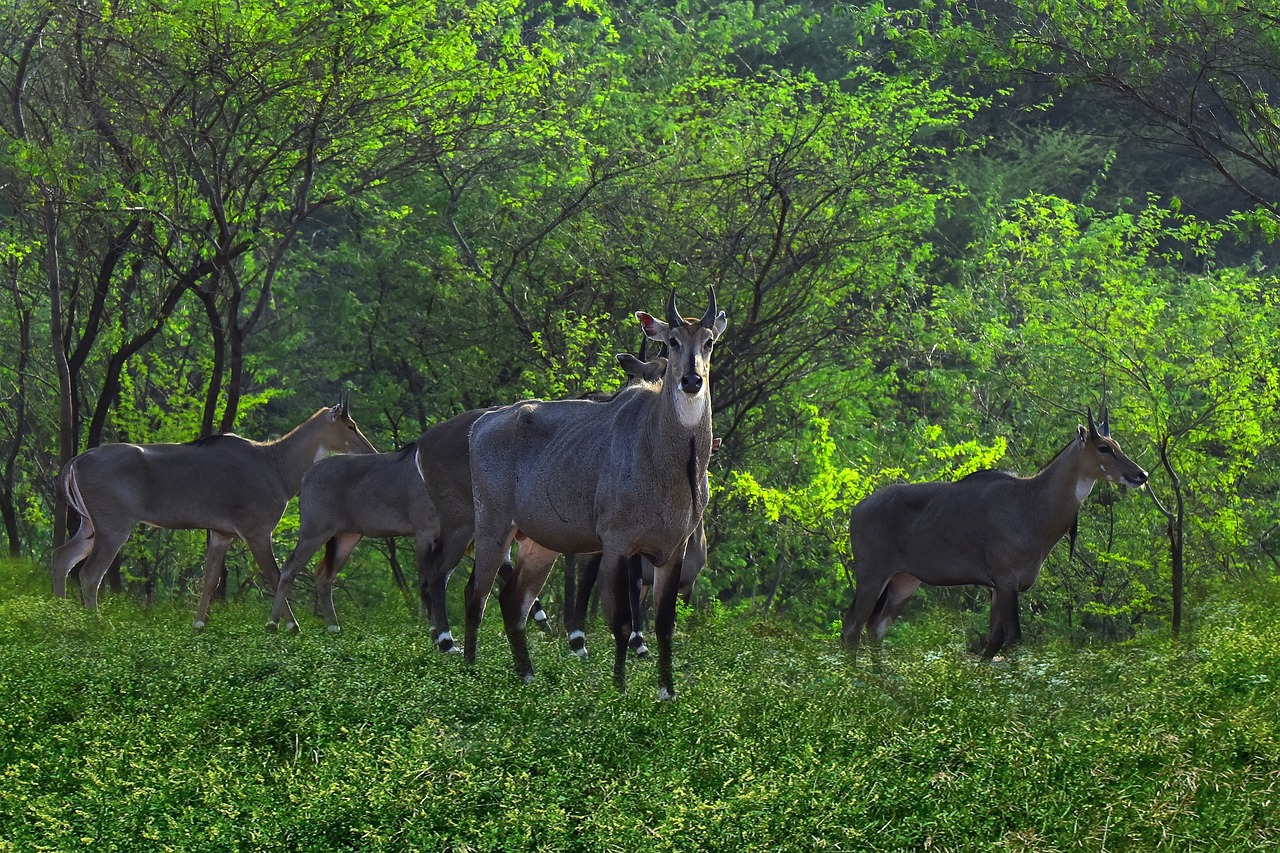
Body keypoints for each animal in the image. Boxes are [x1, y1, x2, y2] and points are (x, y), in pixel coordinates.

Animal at [51, 399, 376, 628]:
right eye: (350, 426)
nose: (371, 451)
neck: (275, 464)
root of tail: (77, 461)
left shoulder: (222, 533)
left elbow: (210, 579)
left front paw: (198, 624)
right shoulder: (256, 531)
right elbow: (275, 575)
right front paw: (290, 625)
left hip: (89, 525)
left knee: (62, 557)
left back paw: (59, 619)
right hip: (113, 527)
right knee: (90, 573)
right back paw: (95, 623)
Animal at [265, 443, 442, 633]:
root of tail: (308, 474)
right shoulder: (425, 531)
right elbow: (425, 579)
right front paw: (428, 627)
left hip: (346, 538)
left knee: (323, 576)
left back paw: (333, 627)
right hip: (314, 532)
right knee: (289, 568)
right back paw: (277, 623)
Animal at [466, 289, 726, 699]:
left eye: (709, 341)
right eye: (672, 341)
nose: (691, 379)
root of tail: (479, 425)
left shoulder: (673, 549)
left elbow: (665, 623)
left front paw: (667, 692)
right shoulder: (617, 543)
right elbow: (621, 620)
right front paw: (618, 689)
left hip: (540, 543)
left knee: (513, 601)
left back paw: (527, 677)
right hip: (493, 525)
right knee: (476, 595)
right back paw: (469, 675)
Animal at [842, 410, 1148, 658]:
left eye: (1118, 445)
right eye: (1104, 448)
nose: (1141, 474)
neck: (1032, 505)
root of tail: (857, 510)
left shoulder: (1001, 588)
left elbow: (994, 641)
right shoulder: (1005, 579)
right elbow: (1013, 638)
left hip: (903, 581)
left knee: (874, 628)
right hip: (872, 574)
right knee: (852, 627)